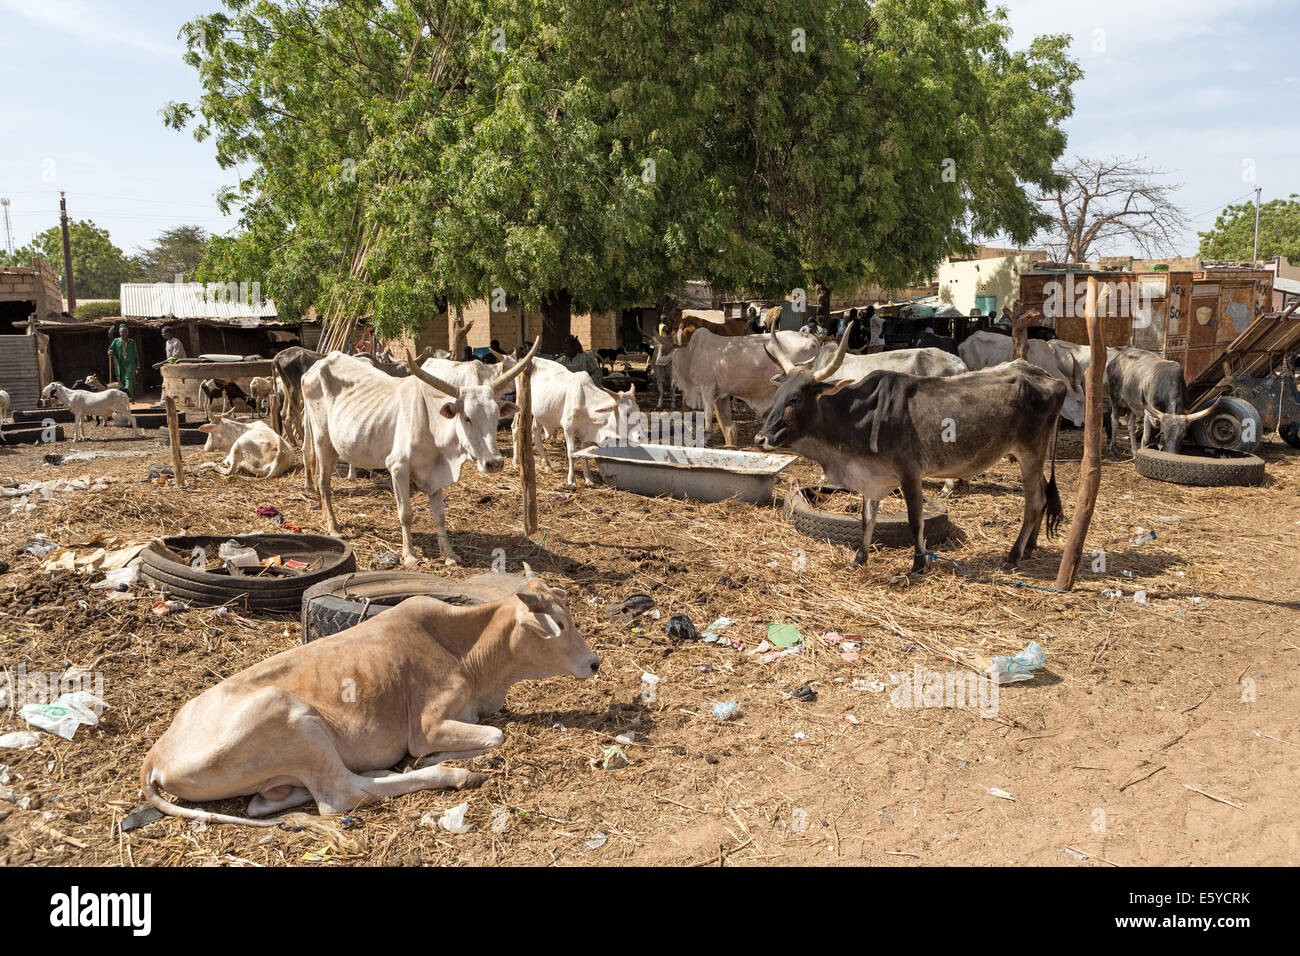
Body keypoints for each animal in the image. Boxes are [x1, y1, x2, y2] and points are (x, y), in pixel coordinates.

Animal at [140, 575, 597, 826]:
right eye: (560, 623)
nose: (594, 662)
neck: (466, 654)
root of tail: (156, 756)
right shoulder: (428, 726)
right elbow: (495, 736)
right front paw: (438, 759)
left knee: (265, 803)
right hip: (292, 718)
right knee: (341, 795)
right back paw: (451, 774)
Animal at [302, 340, 538, 566]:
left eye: (496, 415)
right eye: (467, 417)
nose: (494, 463)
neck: (432, 425)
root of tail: (316, 367)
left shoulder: (436, 474)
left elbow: (439, 517)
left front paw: (449, 554)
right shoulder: (397, 468)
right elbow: (406, 514)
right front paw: (410, 556)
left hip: (335, 446)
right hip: (321, 438)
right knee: (322, 481)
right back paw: (333, 526)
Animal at [510, 358, 642, 486]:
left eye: (638, 410)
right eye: (626, 413)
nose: (640, 437)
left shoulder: (585, 432)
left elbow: (584, 453)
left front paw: (588, 478)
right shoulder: (568, 428)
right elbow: (571, 452)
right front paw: (571, 479)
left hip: (538, 414)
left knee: (536, 435)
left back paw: (546, 464)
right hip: (520, 404)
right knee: (515, 428)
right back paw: (516, 462)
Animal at [756, 342, 1066, 574]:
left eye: (795, 398)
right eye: (778, 394)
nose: (761, 439)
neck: (863, 414)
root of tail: (1052, 379)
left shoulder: (910, 473)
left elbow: (915, 520)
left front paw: (918, 564)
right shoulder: (873, 474)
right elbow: (867, 518)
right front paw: (859, 558)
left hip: (1031, 453)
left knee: (1034, 502)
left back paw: (1014, 555)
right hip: (1031, 457)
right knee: (1041, 497)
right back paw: (1030, 547)